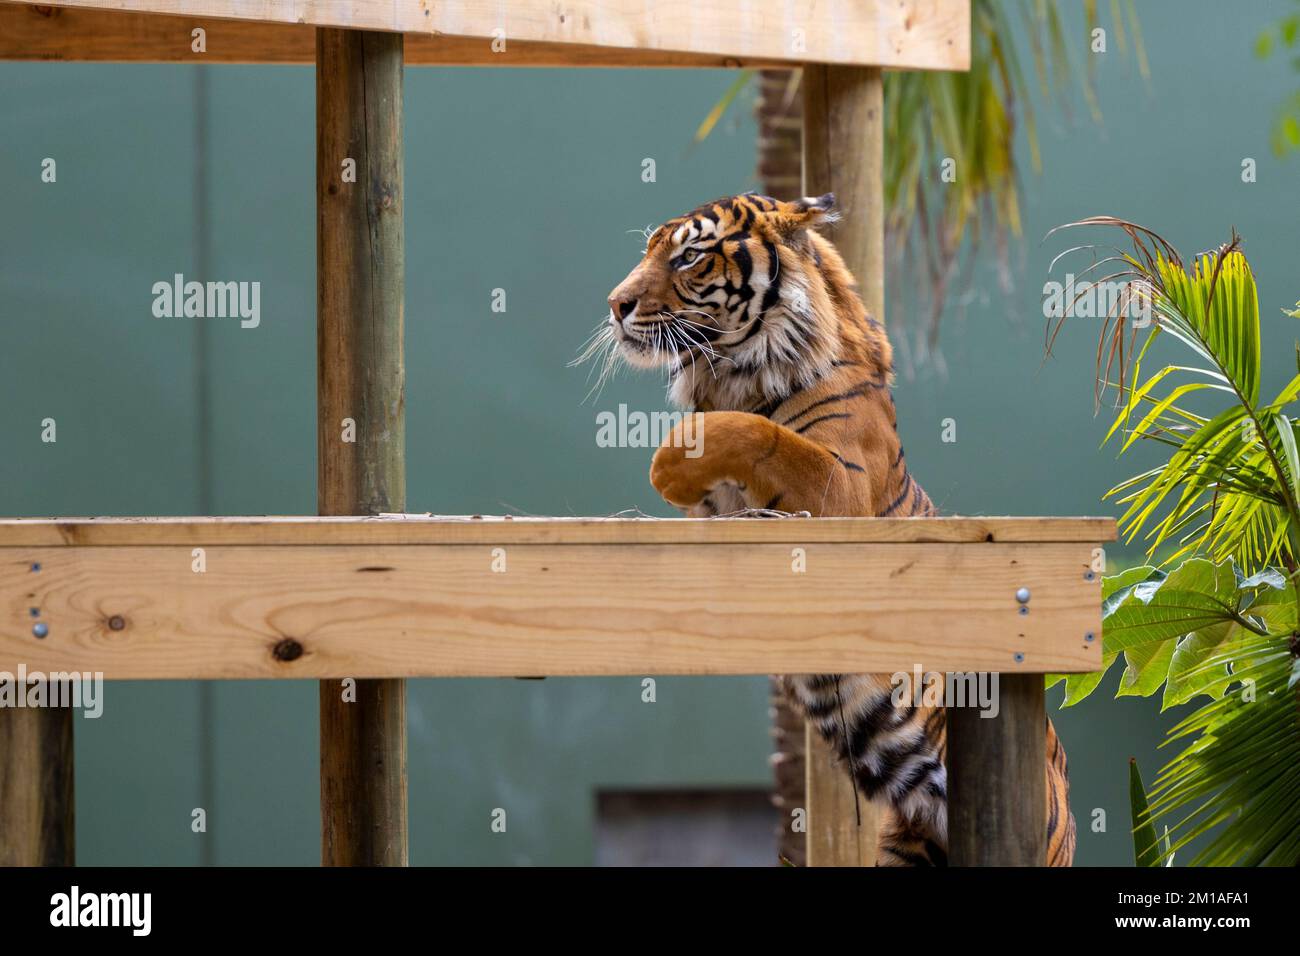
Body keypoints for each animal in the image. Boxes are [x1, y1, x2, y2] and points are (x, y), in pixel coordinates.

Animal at [597, 192, 1075, 866]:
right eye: (649, 251)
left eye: (689, 256)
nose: (616, 306)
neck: (729, 371)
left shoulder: (839, 486)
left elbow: (756, 432)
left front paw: (671, 468)